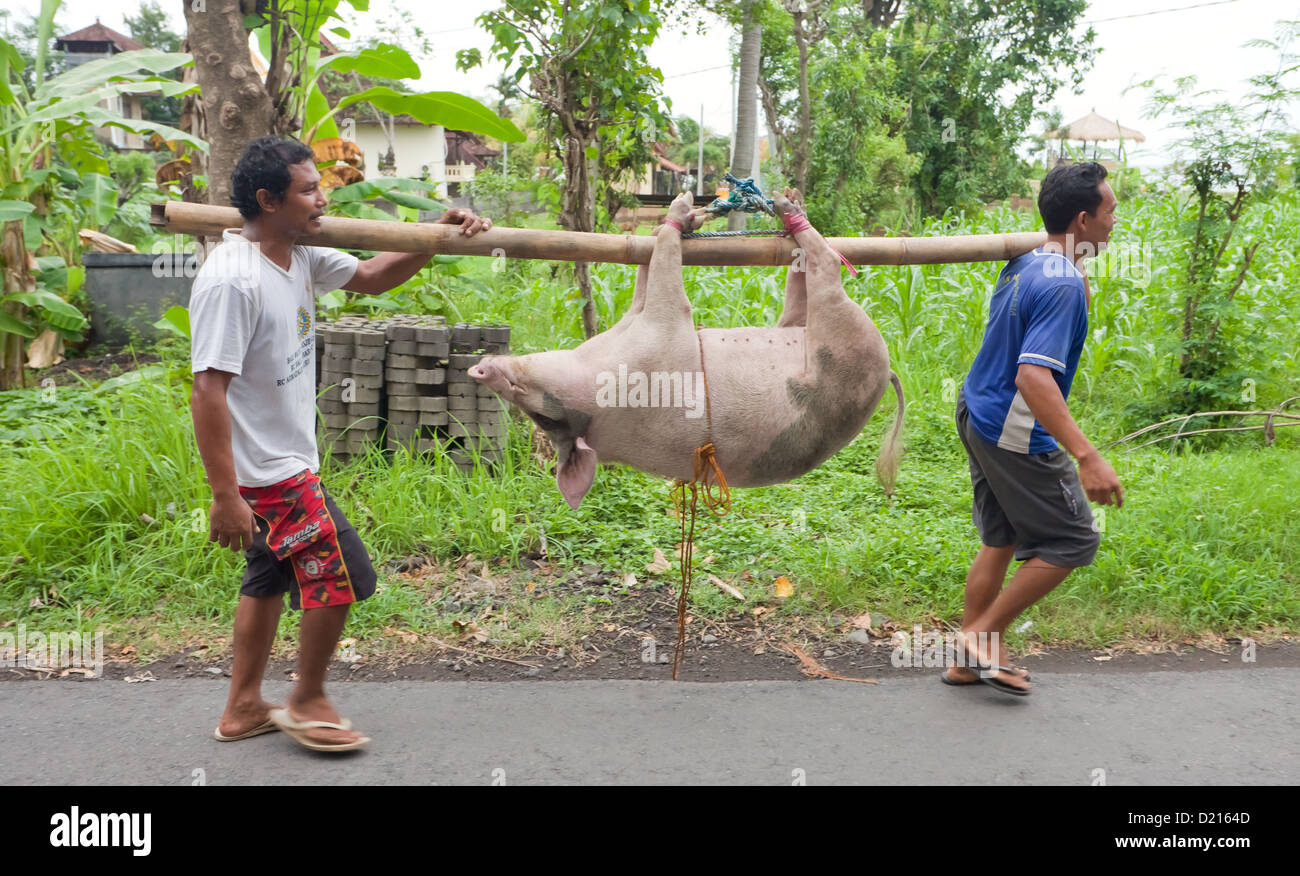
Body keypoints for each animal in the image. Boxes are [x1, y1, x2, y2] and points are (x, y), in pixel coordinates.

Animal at [468, 189, 904, 509]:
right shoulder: (661, 333)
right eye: (545, 418)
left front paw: (687, 219)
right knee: (825, 267)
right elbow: (667, 279)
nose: (479, 370)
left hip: (806, 328)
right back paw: (790, 210)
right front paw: (680, 211)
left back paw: (791, 205)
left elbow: (645, 277)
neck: (602, 386)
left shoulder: (636, 324)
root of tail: (888, 371)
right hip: (845, 336)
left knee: (799, 288)